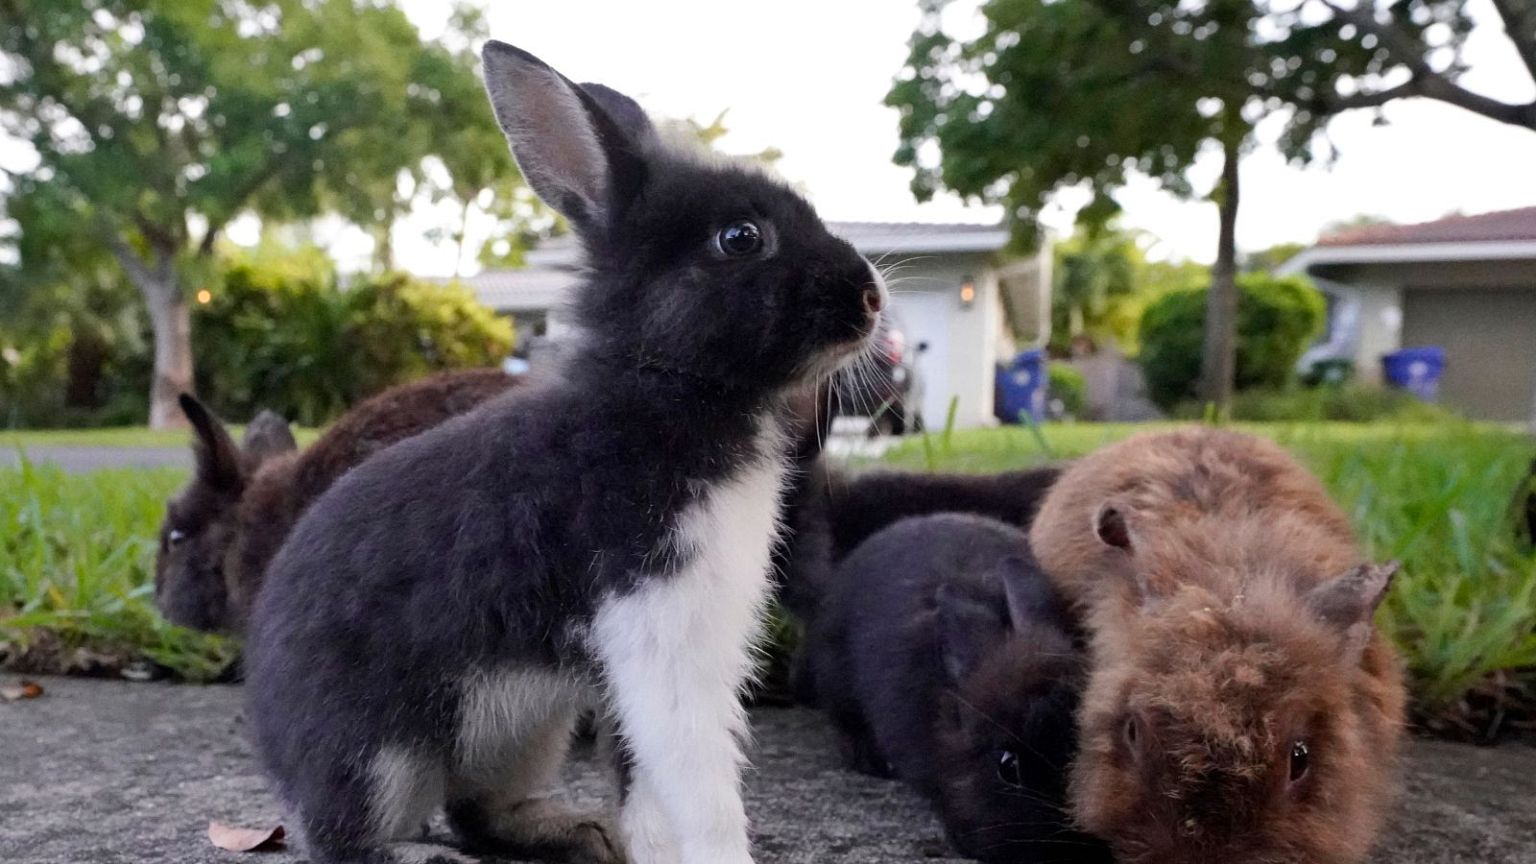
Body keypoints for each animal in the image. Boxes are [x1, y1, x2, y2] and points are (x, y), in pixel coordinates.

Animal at [242, 41, 885, 864]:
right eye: (740, 238)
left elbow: (647, 785)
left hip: (527, 725)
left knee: (477, 810)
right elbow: (699, 784)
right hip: (377, 753)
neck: (665, 389)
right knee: (343, 834)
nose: (870, 297)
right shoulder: (660, 632)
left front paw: (646, 845)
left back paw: (581, 832)